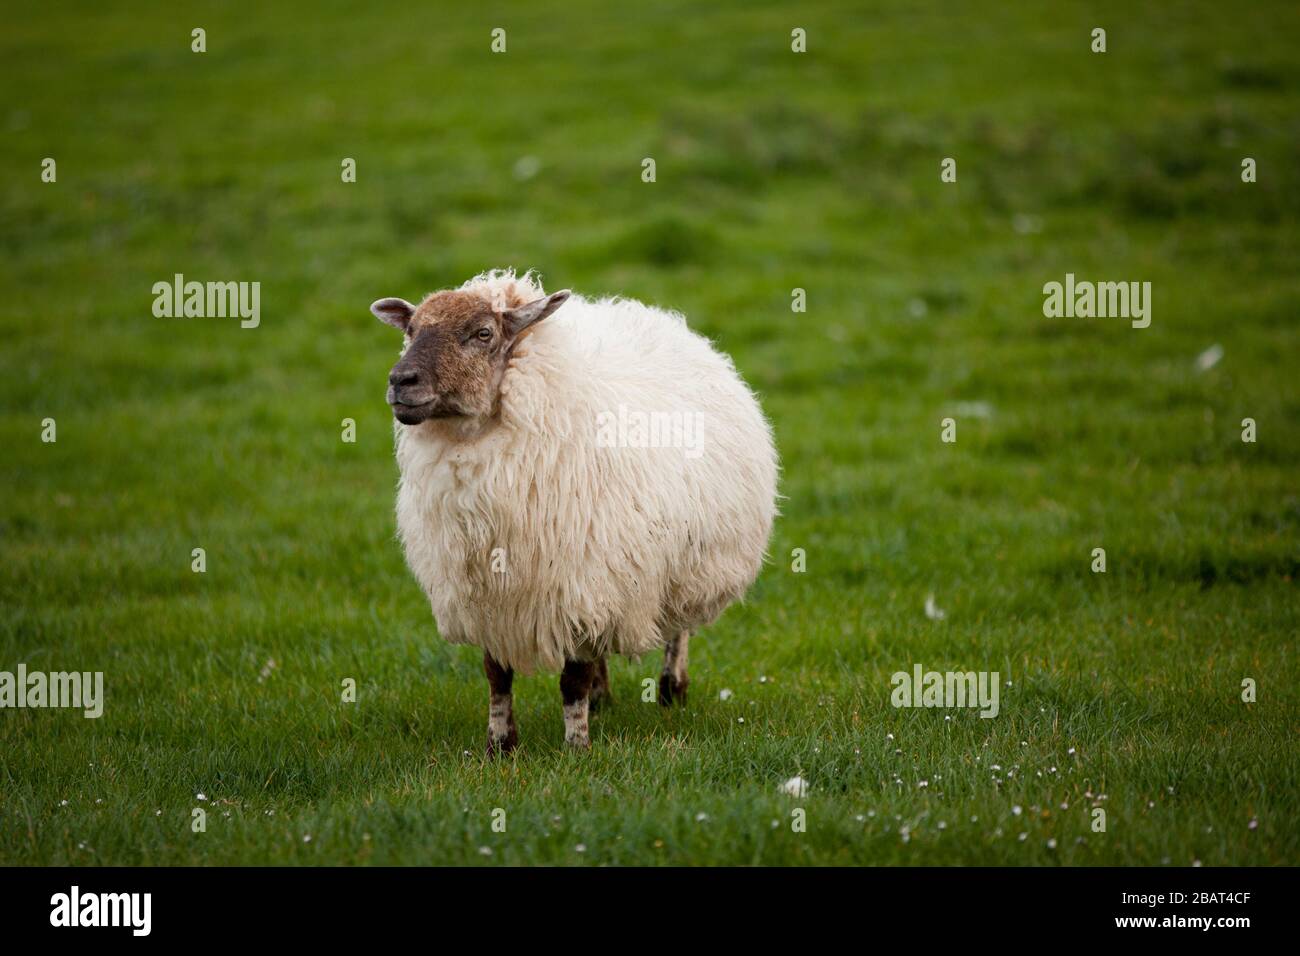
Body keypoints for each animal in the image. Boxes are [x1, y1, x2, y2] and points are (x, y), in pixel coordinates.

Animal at [369, 270, 778, 752]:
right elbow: (497, 675)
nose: (401, 380)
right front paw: (499, 745)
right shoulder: (487, 594)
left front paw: (576, 747)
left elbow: (572, 679)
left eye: (483, 333)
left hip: (684, 565)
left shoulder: (583, 578)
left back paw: (670, 689)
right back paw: (602, 698)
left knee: (679, 628)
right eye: (411, 330)